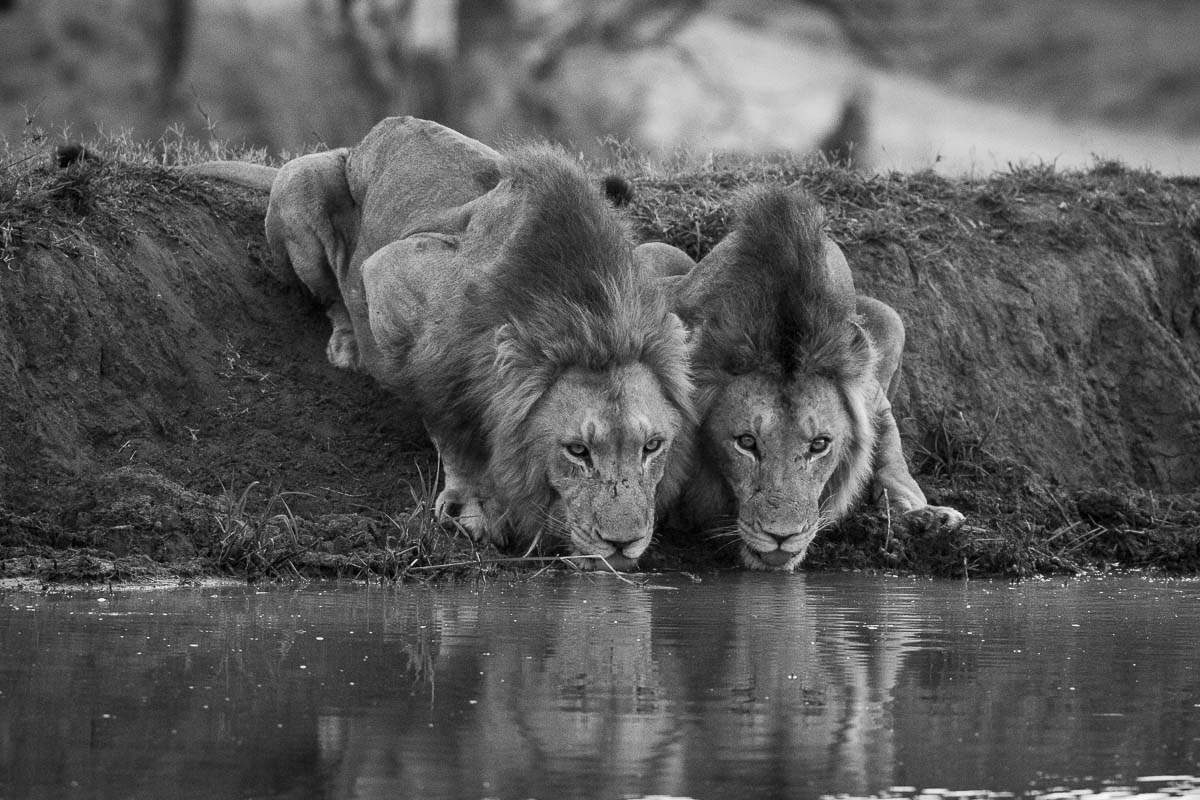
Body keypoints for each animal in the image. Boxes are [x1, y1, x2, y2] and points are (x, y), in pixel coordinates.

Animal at [185, 117, 694, 570]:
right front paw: (468, 505)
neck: (582, 314)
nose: (623, 542)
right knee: (333, 293)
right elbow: (446, 413)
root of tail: (356, 146)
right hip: (301, 182)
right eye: (577, 451)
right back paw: (348, 345)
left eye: (652, 446)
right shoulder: (392, 278)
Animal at [636, 185, 963, 571]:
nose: (782, 536)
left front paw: (926, 515)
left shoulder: (874, 400)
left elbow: (893, 460)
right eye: (746, 442)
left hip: (890, 317)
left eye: (819, 444)